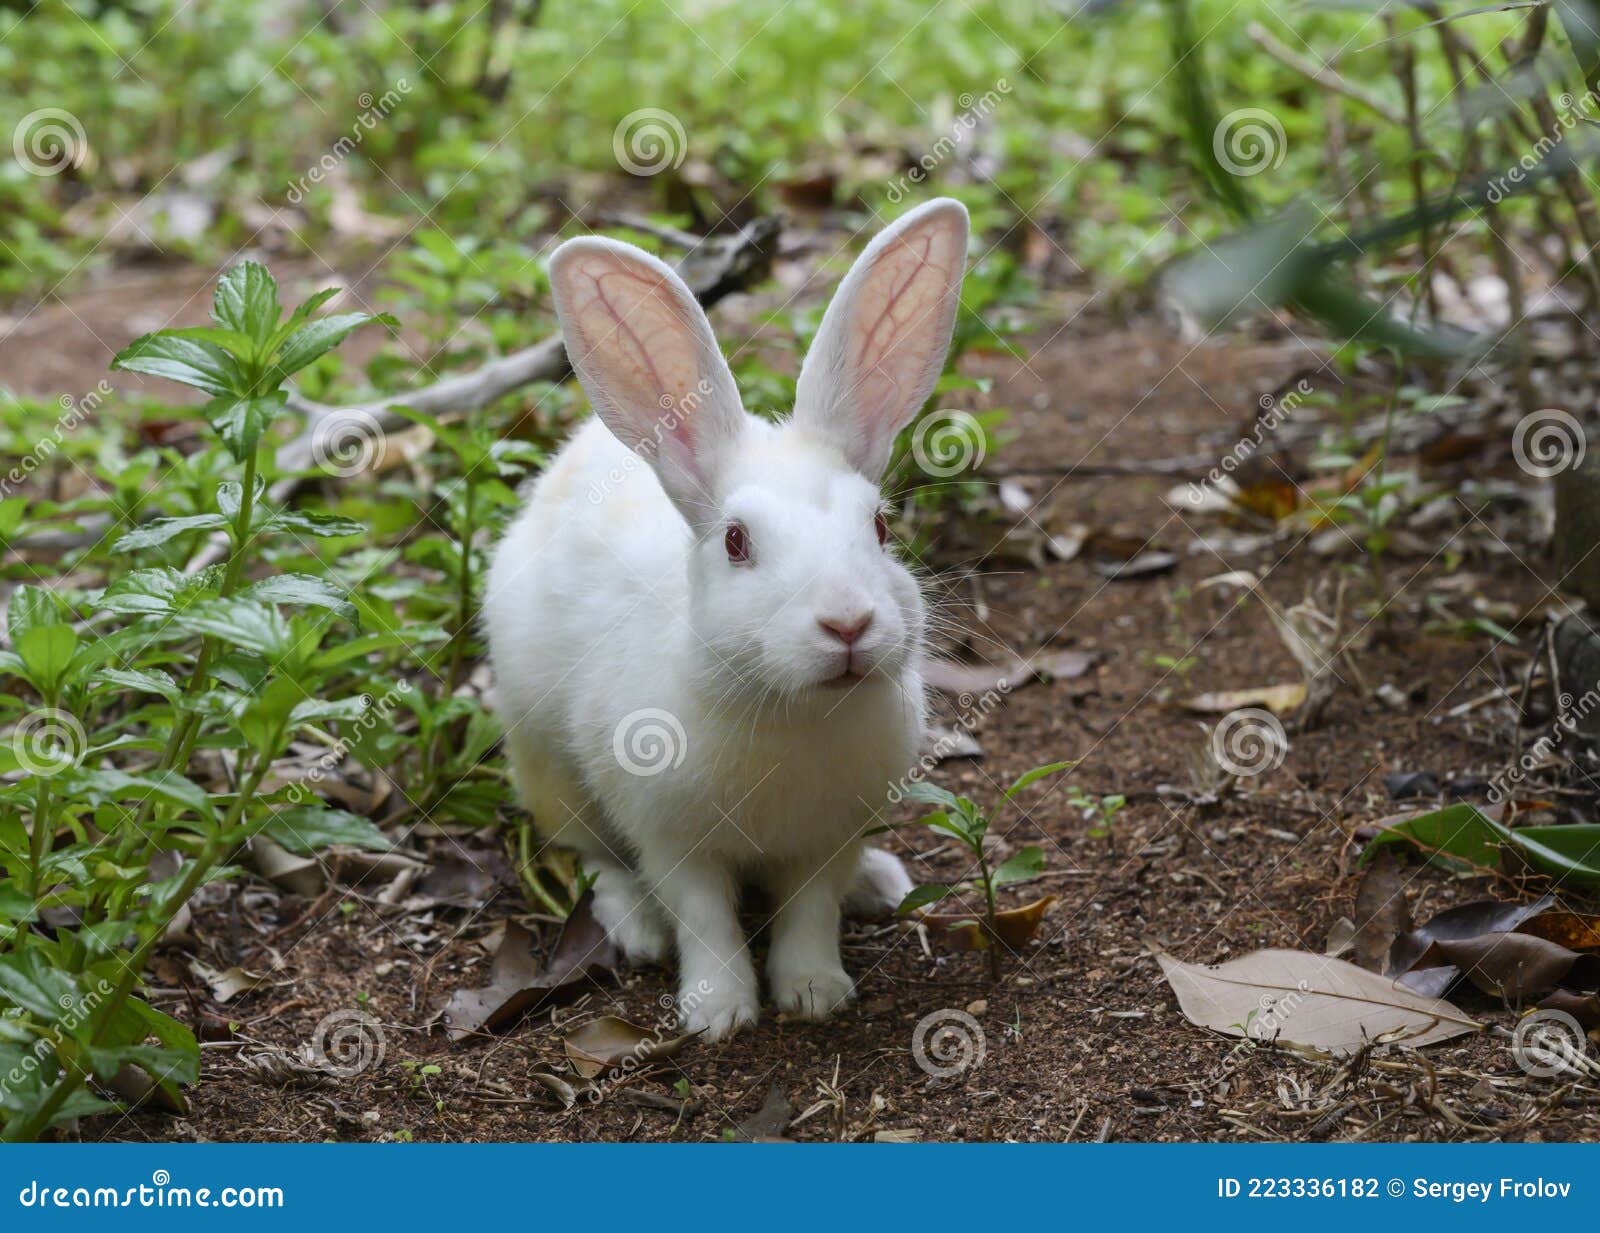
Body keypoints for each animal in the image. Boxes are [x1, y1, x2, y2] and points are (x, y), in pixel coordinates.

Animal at [485, 198, 969, 1039]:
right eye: (738, 542)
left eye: (879, 526)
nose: (847, 624)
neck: (793, 713)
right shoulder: (673, 839)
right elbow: (704, 917)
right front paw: (719, 1012)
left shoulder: (827, 838)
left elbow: (809, 910)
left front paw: (814, 992)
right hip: (548, 760)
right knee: (587, 852)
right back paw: (636, 925)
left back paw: (879, 882)